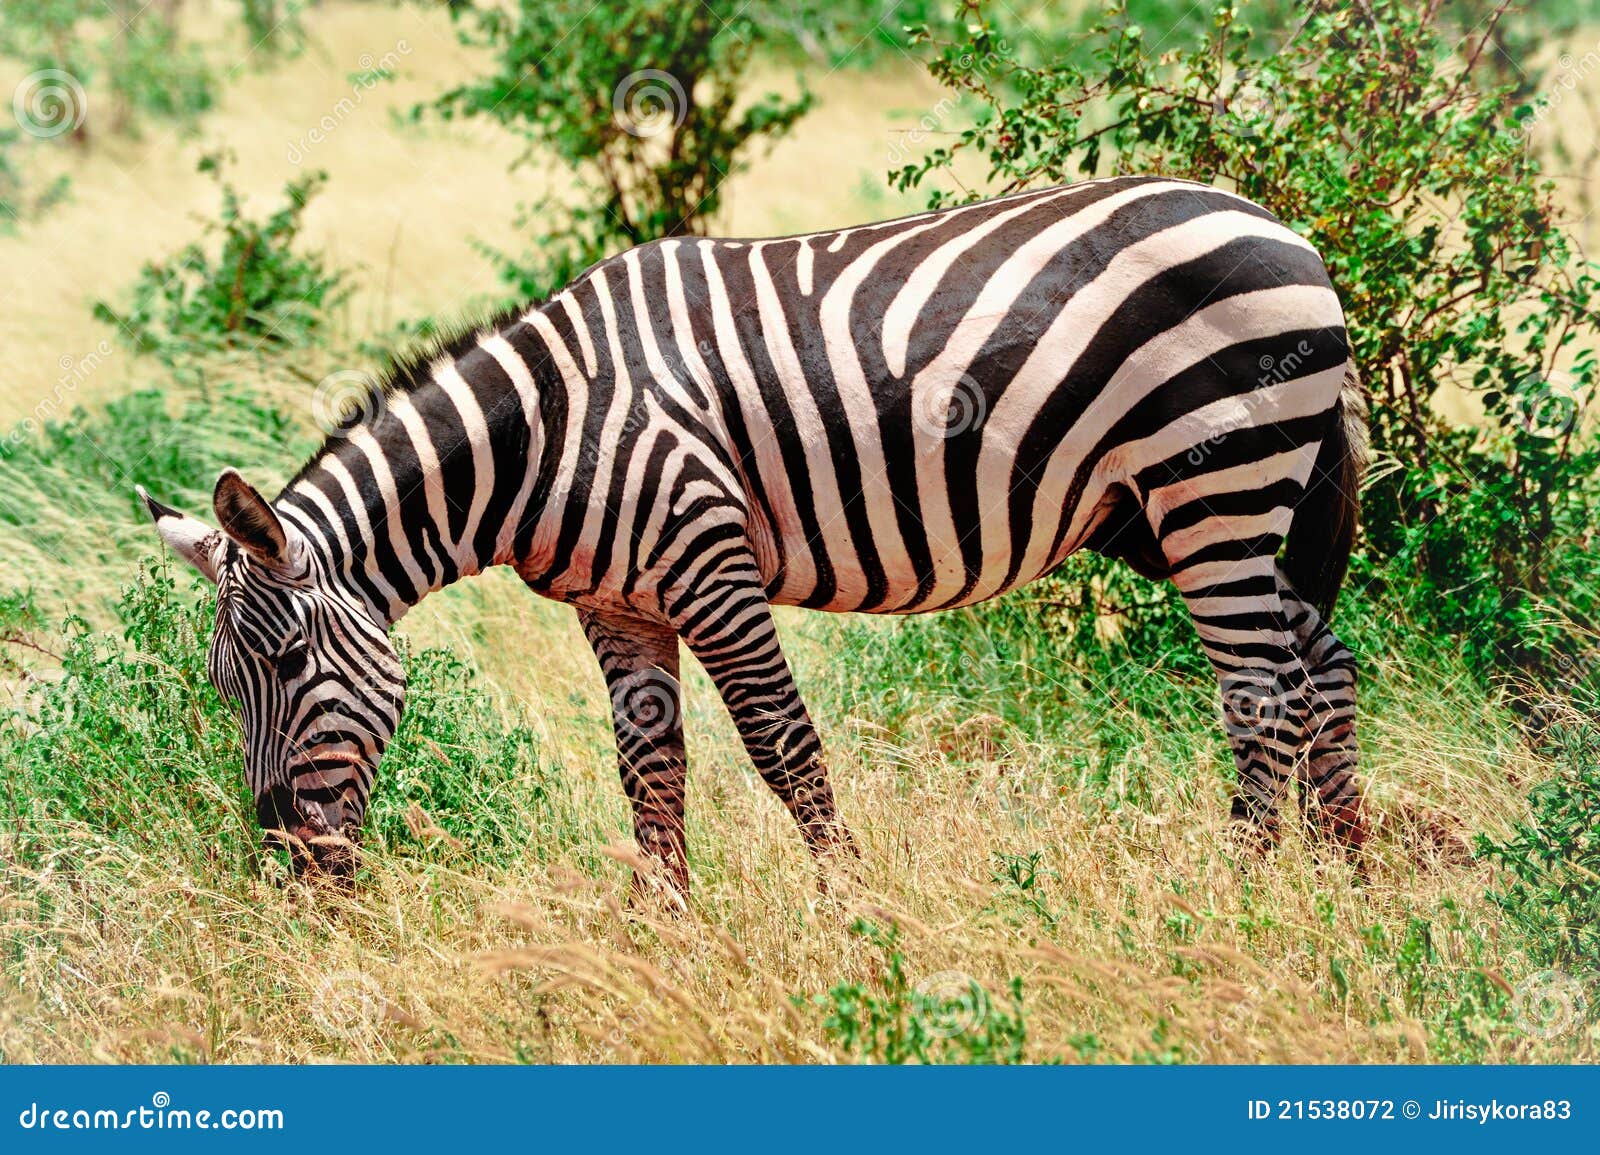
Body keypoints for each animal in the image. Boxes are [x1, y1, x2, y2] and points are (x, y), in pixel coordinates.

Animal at [140, 176, 1368, 893]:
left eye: (290, 662)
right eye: (221, 685)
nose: (287, 866)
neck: (547, 431)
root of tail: (1283, 227)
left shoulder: (709, 562)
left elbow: (783, 745)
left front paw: (853, 911)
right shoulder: (617, 605)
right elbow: (649, 766)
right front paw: (664, 929)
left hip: (1212, 479)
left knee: (1259, 687)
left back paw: (1243, 891)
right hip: (1170, 505)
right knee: (1325, 660)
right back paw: (1345, 880)